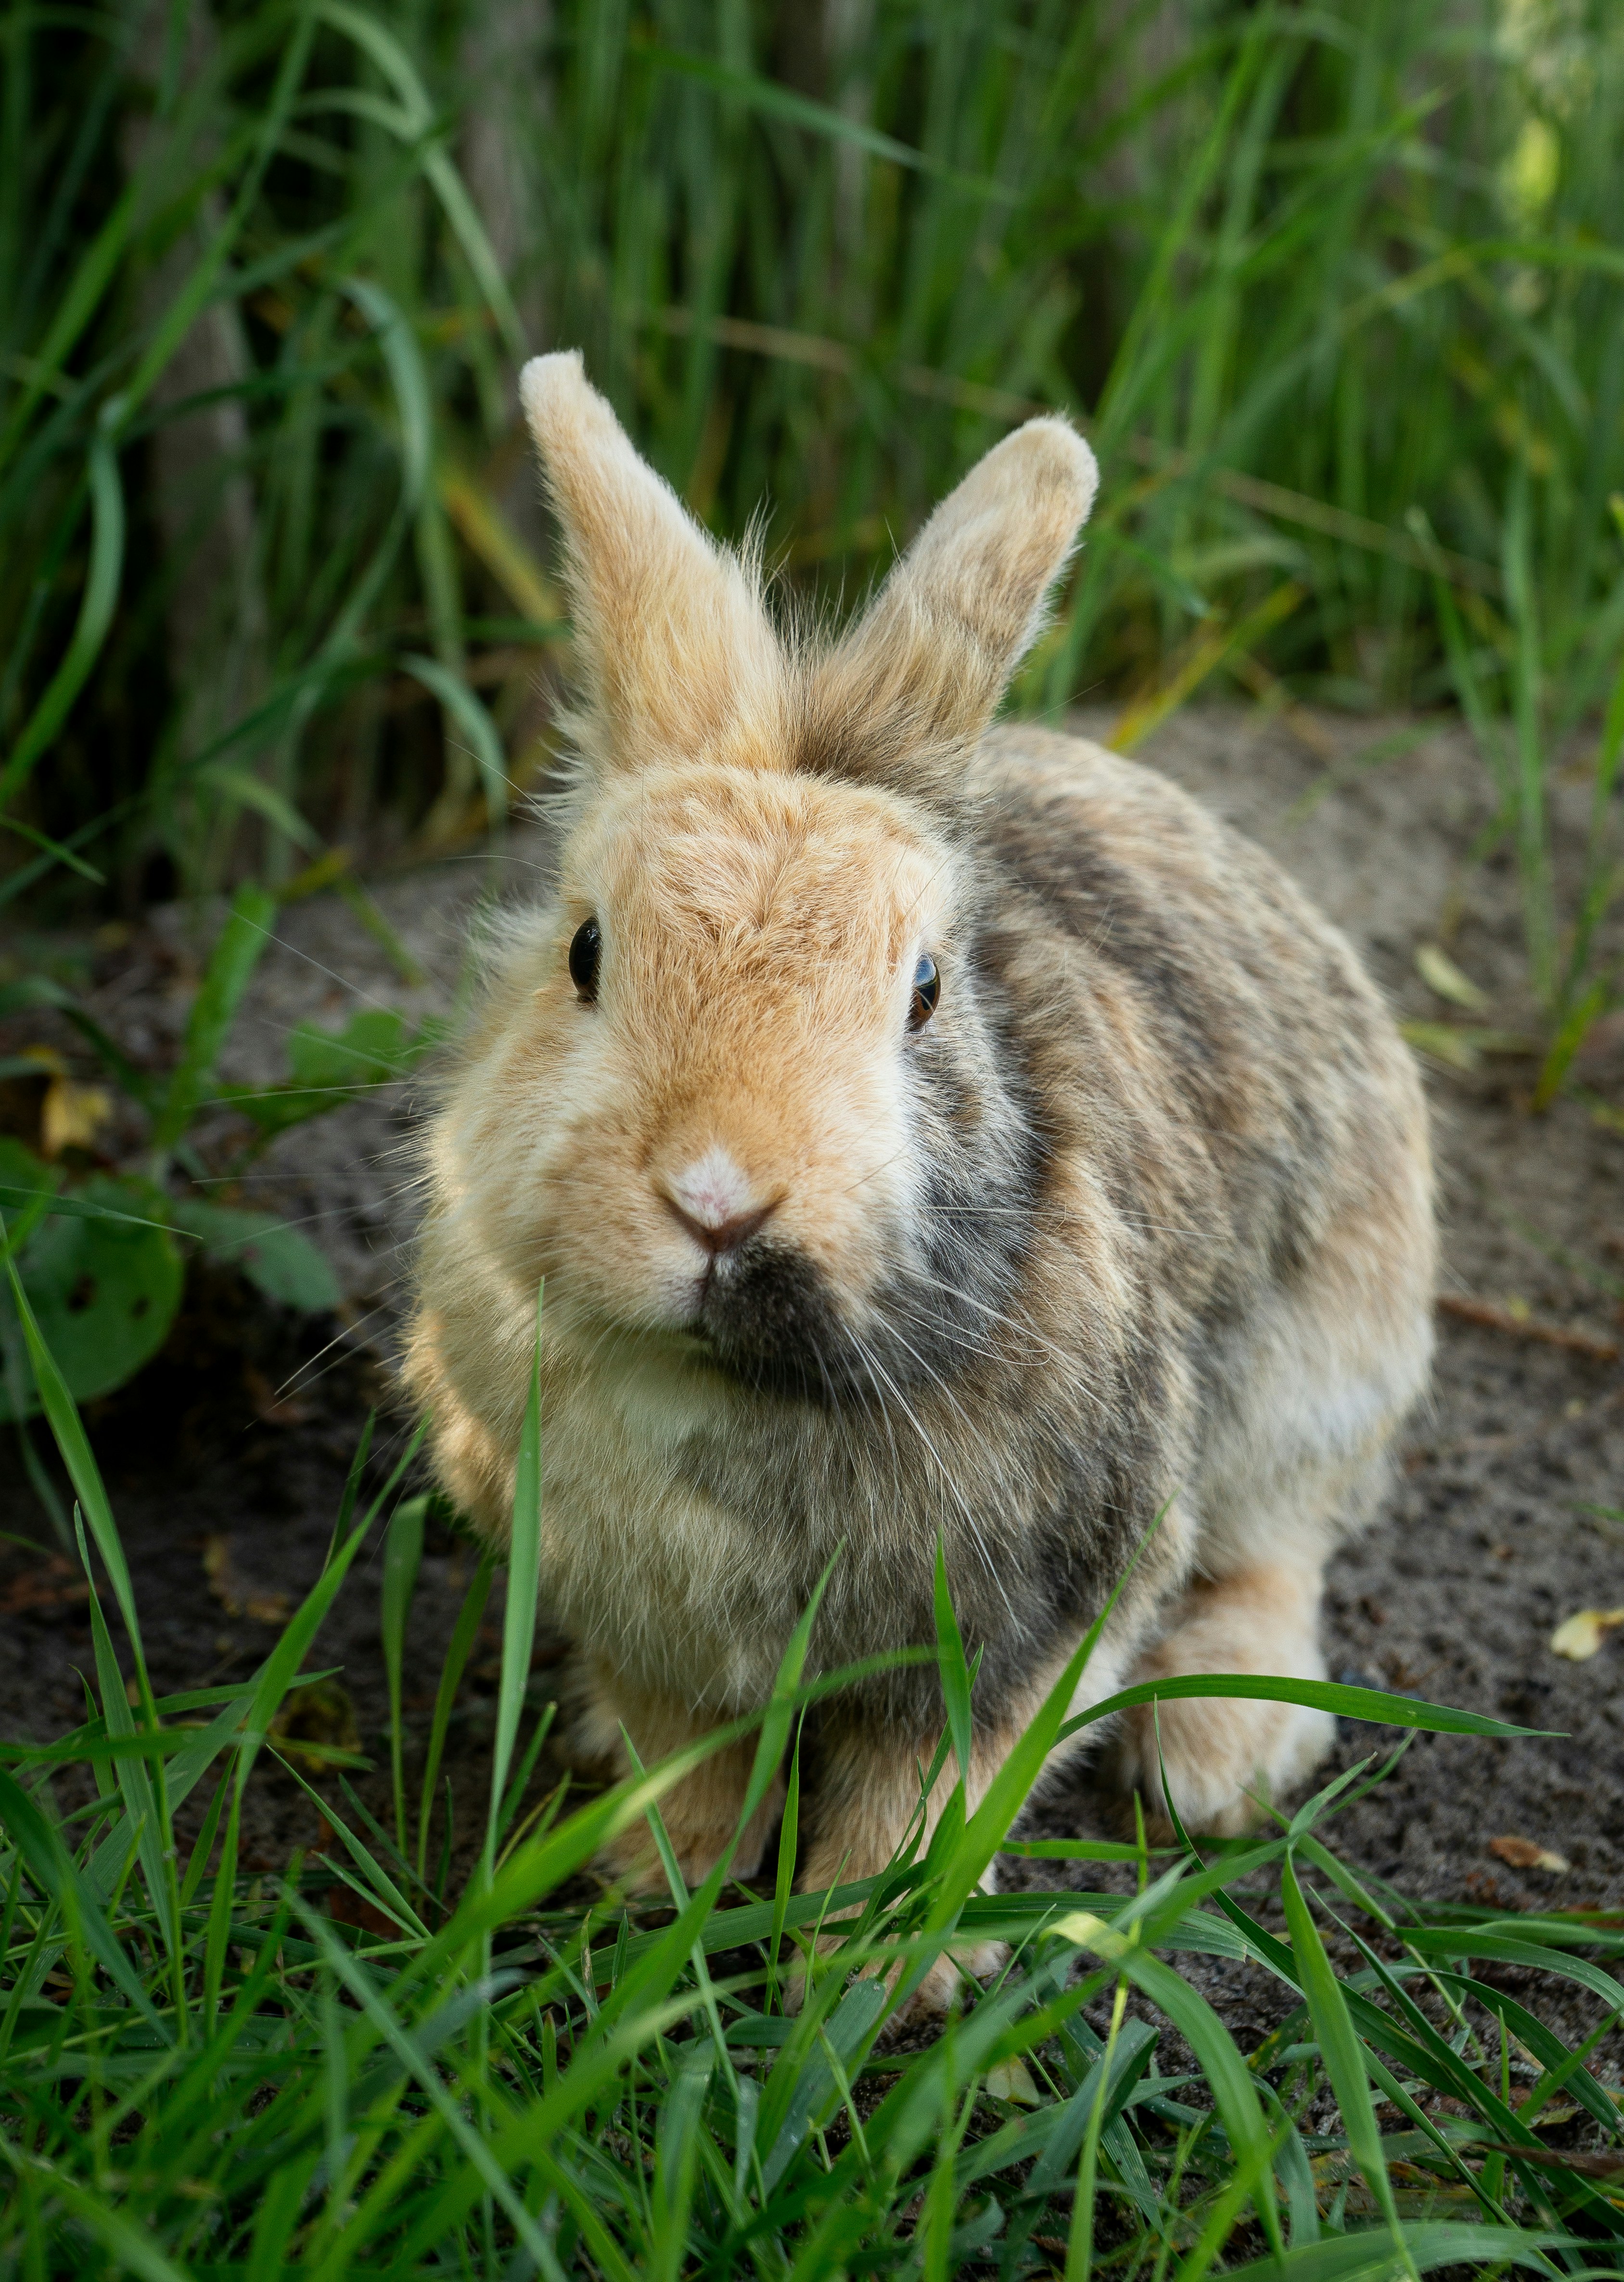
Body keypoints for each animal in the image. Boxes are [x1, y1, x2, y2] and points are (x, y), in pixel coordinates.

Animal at [406, 352, 1434, 1985]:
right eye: (583, 952)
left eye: (927, 991)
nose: (716, 1194)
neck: (724, 1379)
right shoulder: (634, 1621)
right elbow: (689, 1761)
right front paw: (653, 1885)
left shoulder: (1040, 1606)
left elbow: (931, 1791)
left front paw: (872, 1965)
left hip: (1322, 1363)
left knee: (1276, 1553)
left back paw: (1214, 1751)